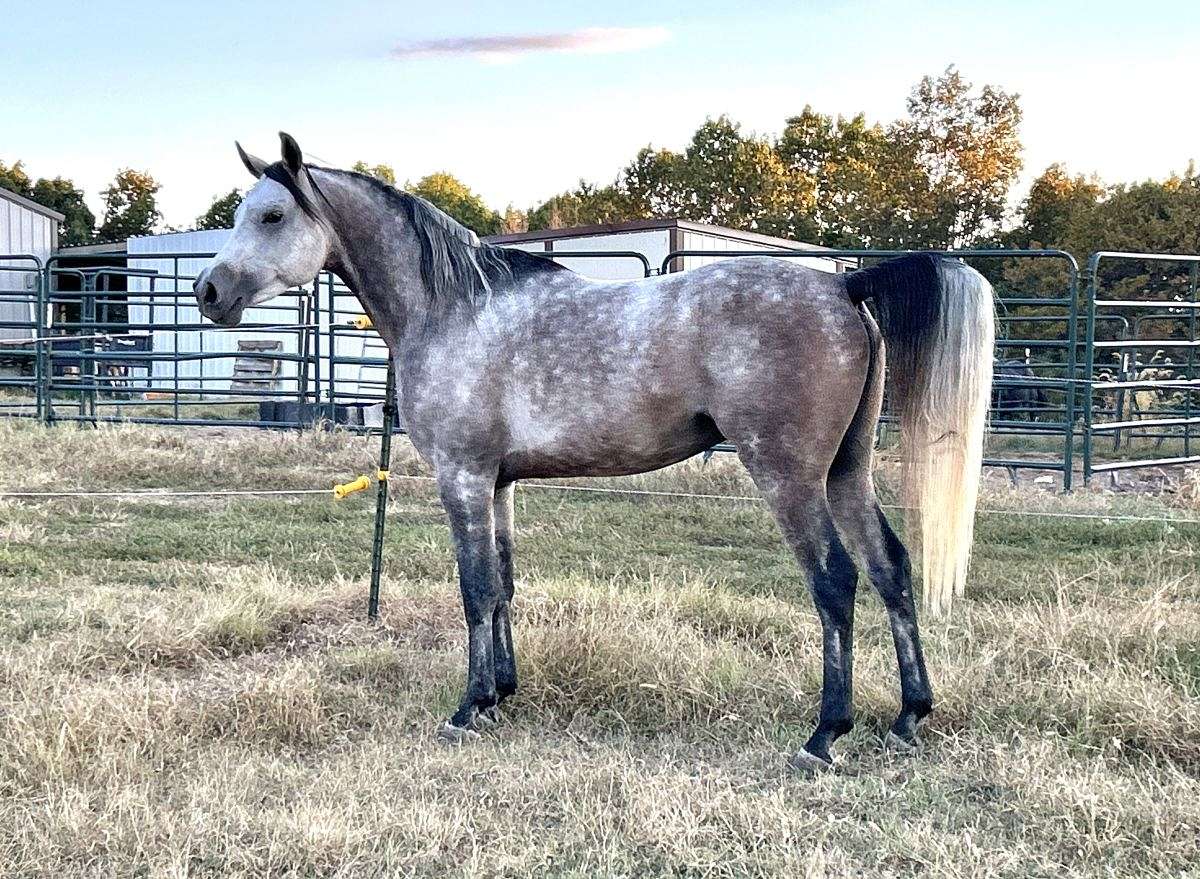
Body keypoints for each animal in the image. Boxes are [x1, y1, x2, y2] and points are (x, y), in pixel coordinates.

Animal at [193, 133, 994, 771]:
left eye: (271, 215)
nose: (207, 291)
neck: (453, 309)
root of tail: (845, 284)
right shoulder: (500, 483)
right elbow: (504, 585)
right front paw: (503, 694)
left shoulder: (463, 477)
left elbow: (474, 589)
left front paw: (468, 708)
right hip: (845, 474)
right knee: (890, 568)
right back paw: (908, 716)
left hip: (789, 476)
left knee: (835, 580)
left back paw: (825, 734)